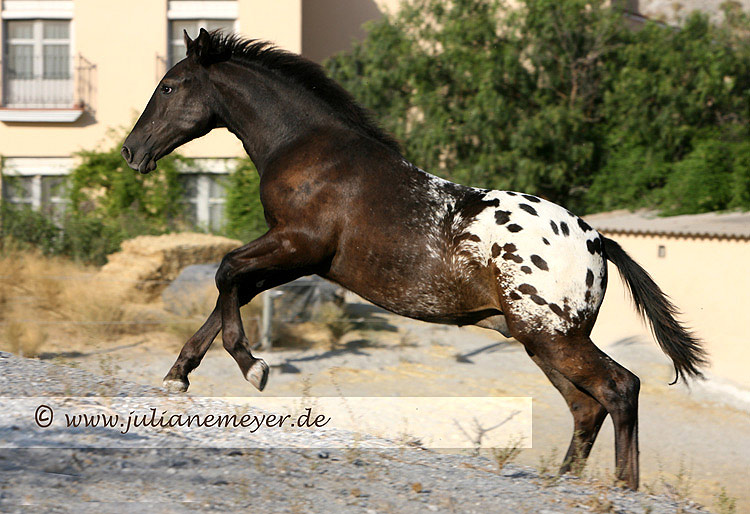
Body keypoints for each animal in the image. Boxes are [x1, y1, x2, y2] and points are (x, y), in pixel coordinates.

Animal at [121, 28, 708, 490]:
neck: (310, 150)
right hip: (539, 341)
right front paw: (178, 376)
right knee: (587, 405)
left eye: (169, 85)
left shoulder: (297, 245)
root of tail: (598, 241)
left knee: (620, 388)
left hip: (553, 338)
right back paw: (565, 481)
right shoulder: (298, 259)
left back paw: (622, 490)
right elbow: (231, 289)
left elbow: (226, 273)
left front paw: (253, 368)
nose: (131, 150)